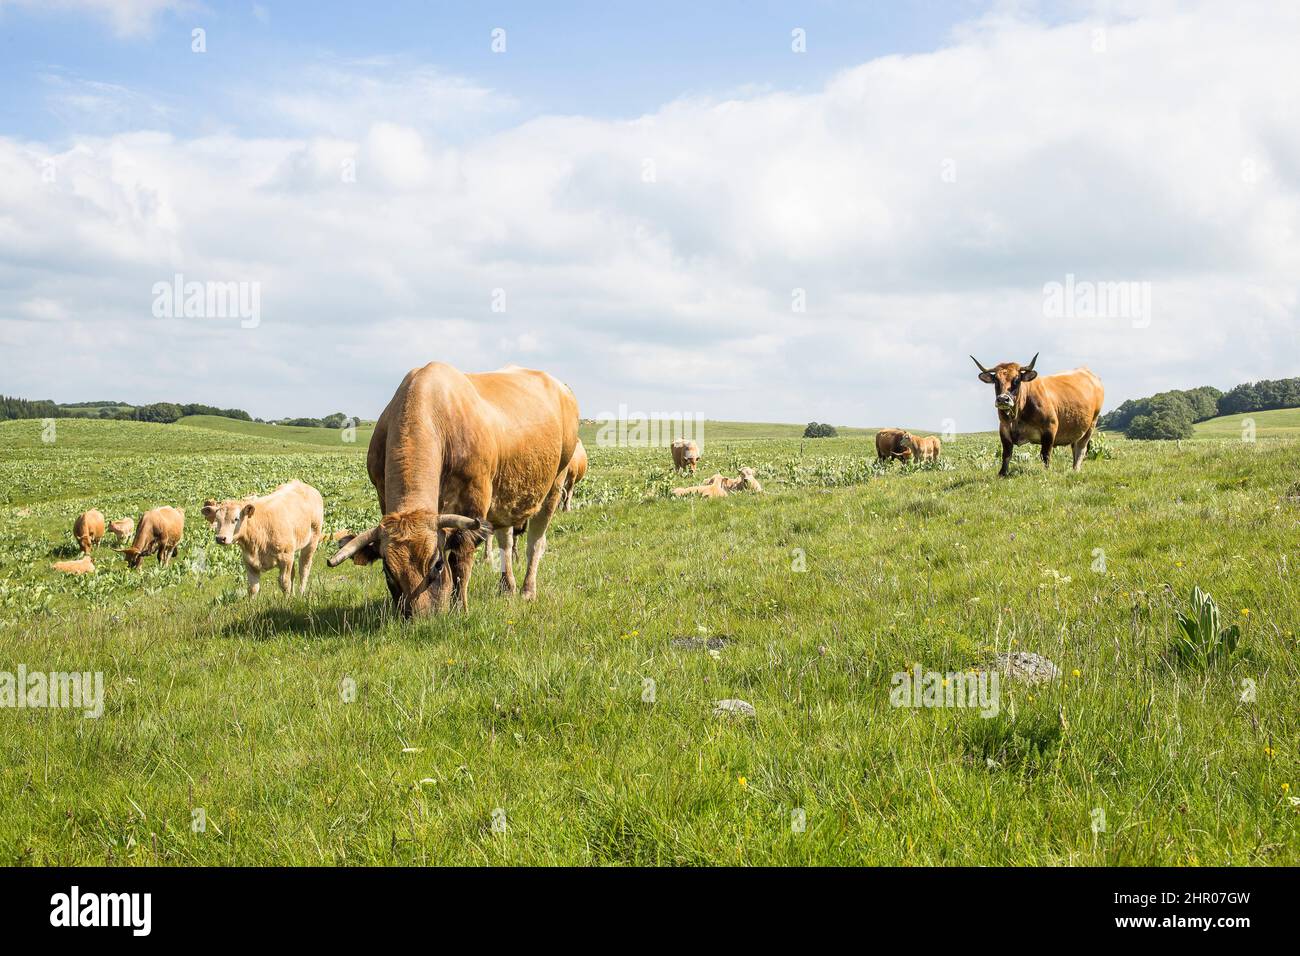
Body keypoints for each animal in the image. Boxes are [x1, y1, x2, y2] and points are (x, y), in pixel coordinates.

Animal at [328, 363, 579, 616]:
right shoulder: (382, 495)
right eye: (388, 571)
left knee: (535, 543)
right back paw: (507, 587)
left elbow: (460, 562)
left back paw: (528, 590)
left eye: (437, 564)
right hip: (506, 499)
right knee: (506, 542)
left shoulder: (473, 504)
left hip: (554, 485)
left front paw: (460, 608)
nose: (423, 618)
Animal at [970, 354, 1104, 476]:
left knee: (1081, 449)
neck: (1017, 417)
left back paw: (1076, 470)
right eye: (996, 380)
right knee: (1075, 448)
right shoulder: (1004, 429)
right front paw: (1002, 473)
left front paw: (1046, 472)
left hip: (1091, 425)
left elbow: (1045, 454)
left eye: (1017, 380)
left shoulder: (1050, 428)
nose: (1003, 399)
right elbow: (1006, 454)